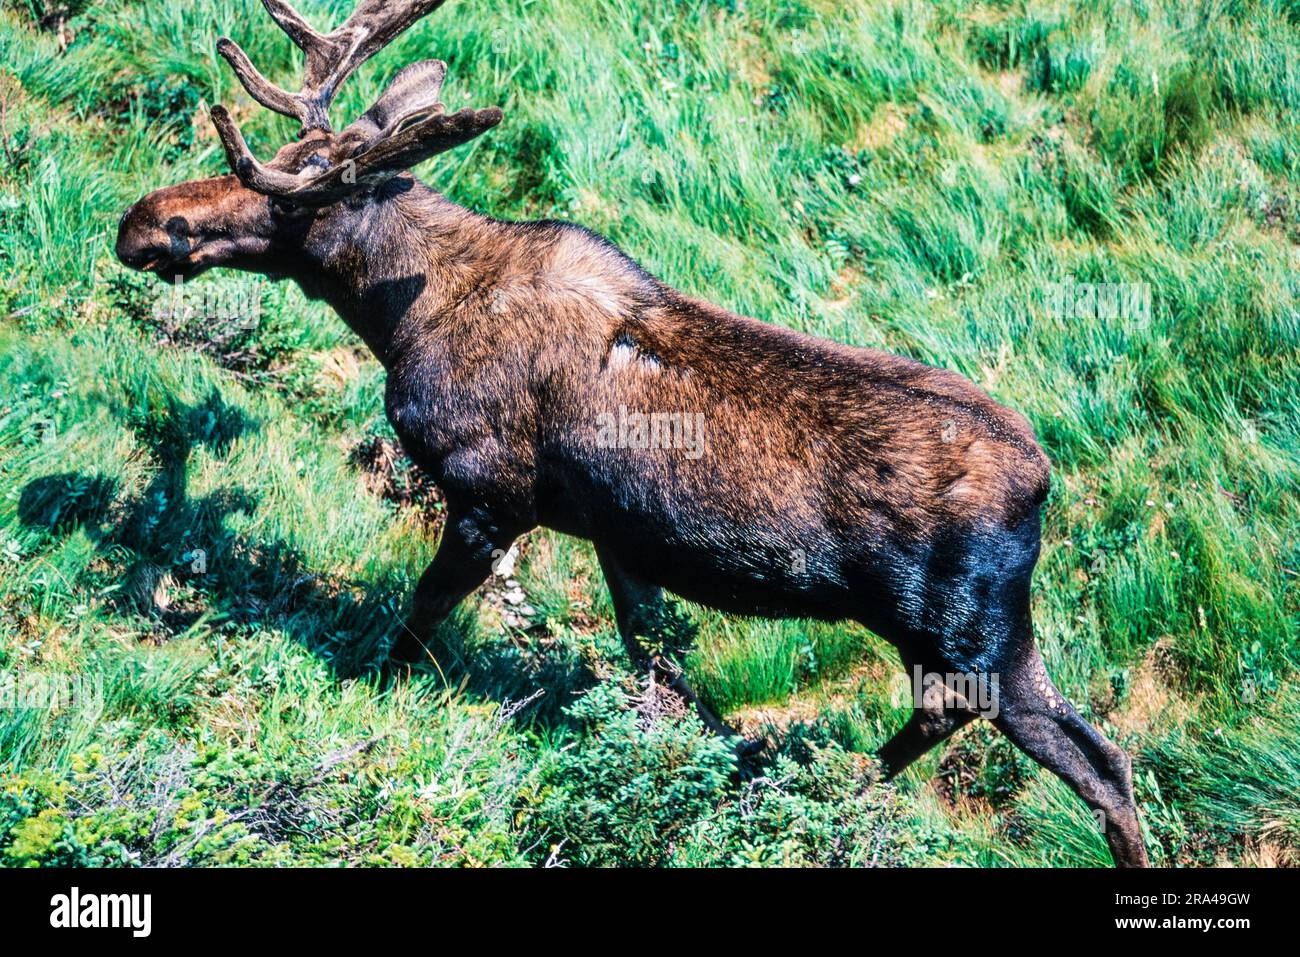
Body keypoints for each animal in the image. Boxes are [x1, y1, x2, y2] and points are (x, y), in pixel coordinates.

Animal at [114, 0, 1149, 867]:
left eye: (291, 192)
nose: (145, 222)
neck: (398, 314)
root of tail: (1045, 483)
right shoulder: (621, 538)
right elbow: (656, 667)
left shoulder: (490, 495)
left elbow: (414, 625)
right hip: (1005, 632)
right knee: (1105, 759)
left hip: (953, 626)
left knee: (967, 718)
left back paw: (823, 783)